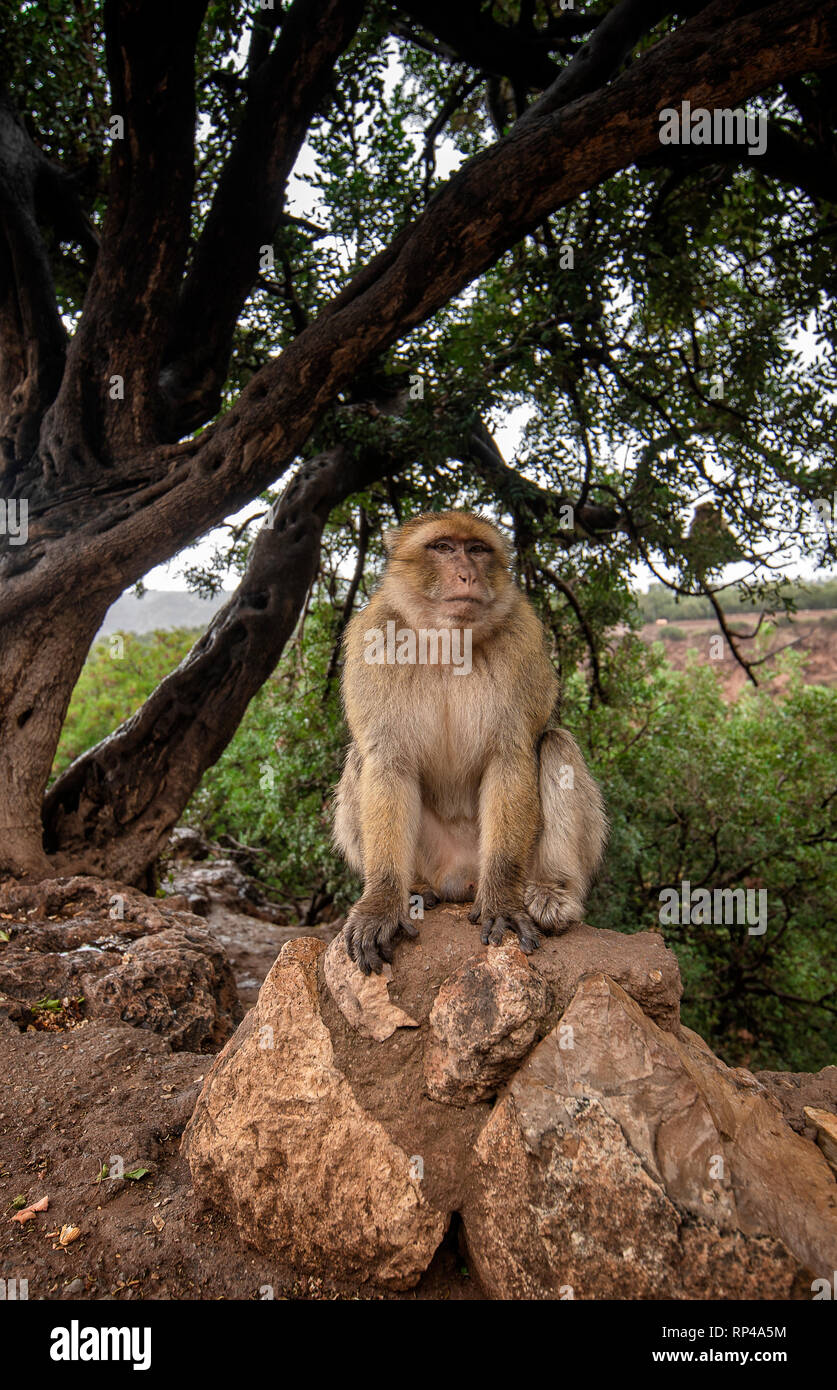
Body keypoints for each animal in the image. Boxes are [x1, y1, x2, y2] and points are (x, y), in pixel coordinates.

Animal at [333, 510, 608, 974]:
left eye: (477, 549)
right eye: (443, 547)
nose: (467, 575)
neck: (448, 641)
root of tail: (459, 880)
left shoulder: (522, 639)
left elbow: (510, 757)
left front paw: (501, 903)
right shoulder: (376, 638)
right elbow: (387, 762)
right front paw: (381, 903)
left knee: (556, 744)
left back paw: (551, 892)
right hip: (432, 856)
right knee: (359, 759)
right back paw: (415, 888)